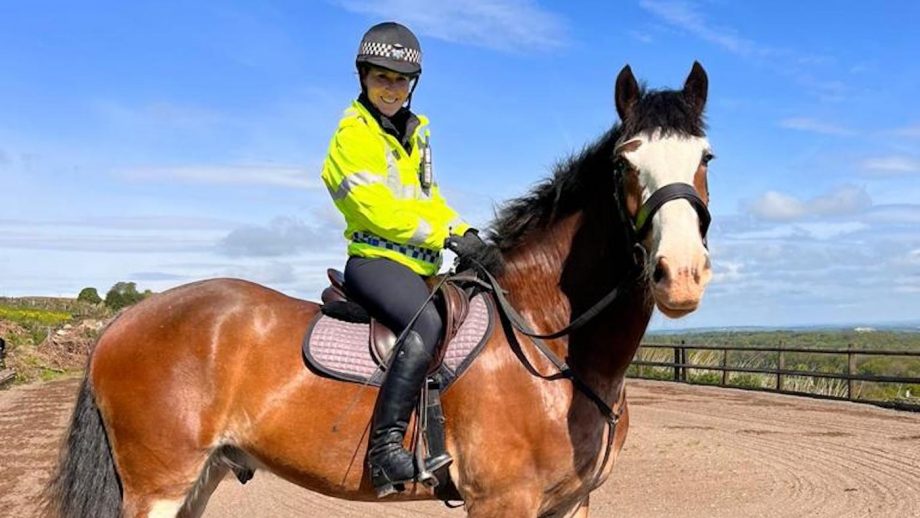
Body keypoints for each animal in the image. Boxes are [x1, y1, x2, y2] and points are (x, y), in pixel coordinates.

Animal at [45, 62, 713, 518]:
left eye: (705, 157)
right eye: (624, 163)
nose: (680, 274)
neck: (550, 342)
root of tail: (123, 322)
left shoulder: (569, 504)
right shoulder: (503, 502)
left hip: (201, 477)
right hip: (159, 485)